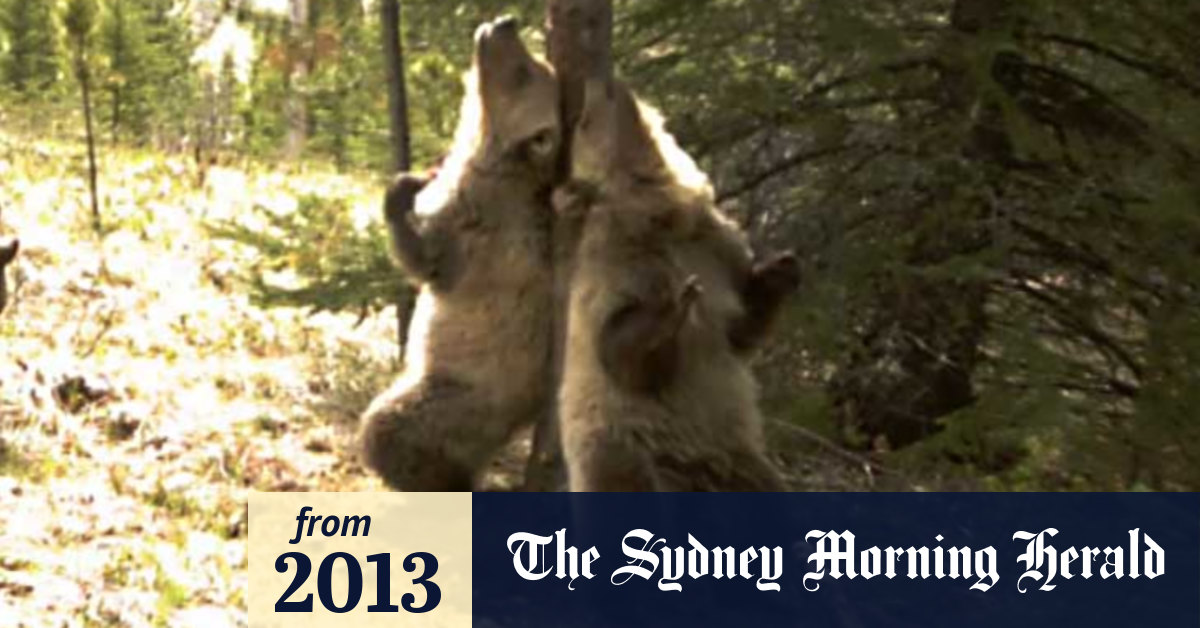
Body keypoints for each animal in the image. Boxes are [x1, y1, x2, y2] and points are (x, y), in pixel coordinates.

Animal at [358, 16, 562, 492]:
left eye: (525, 72)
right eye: (538, 63)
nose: (505, 23)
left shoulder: (478, 231)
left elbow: (423, 259)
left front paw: (405, 187)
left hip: (456, 398)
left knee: (390, 424)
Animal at [555, 78, 793, 491]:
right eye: (584, 121)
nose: (601, 82)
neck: (660, 215)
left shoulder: (713, 246)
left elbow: (740, 327)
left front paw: (781, 268)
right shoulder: (612, 261)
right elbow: (618, 345)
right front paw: (673, 306)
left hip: (740, 460)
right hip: (626, 453)